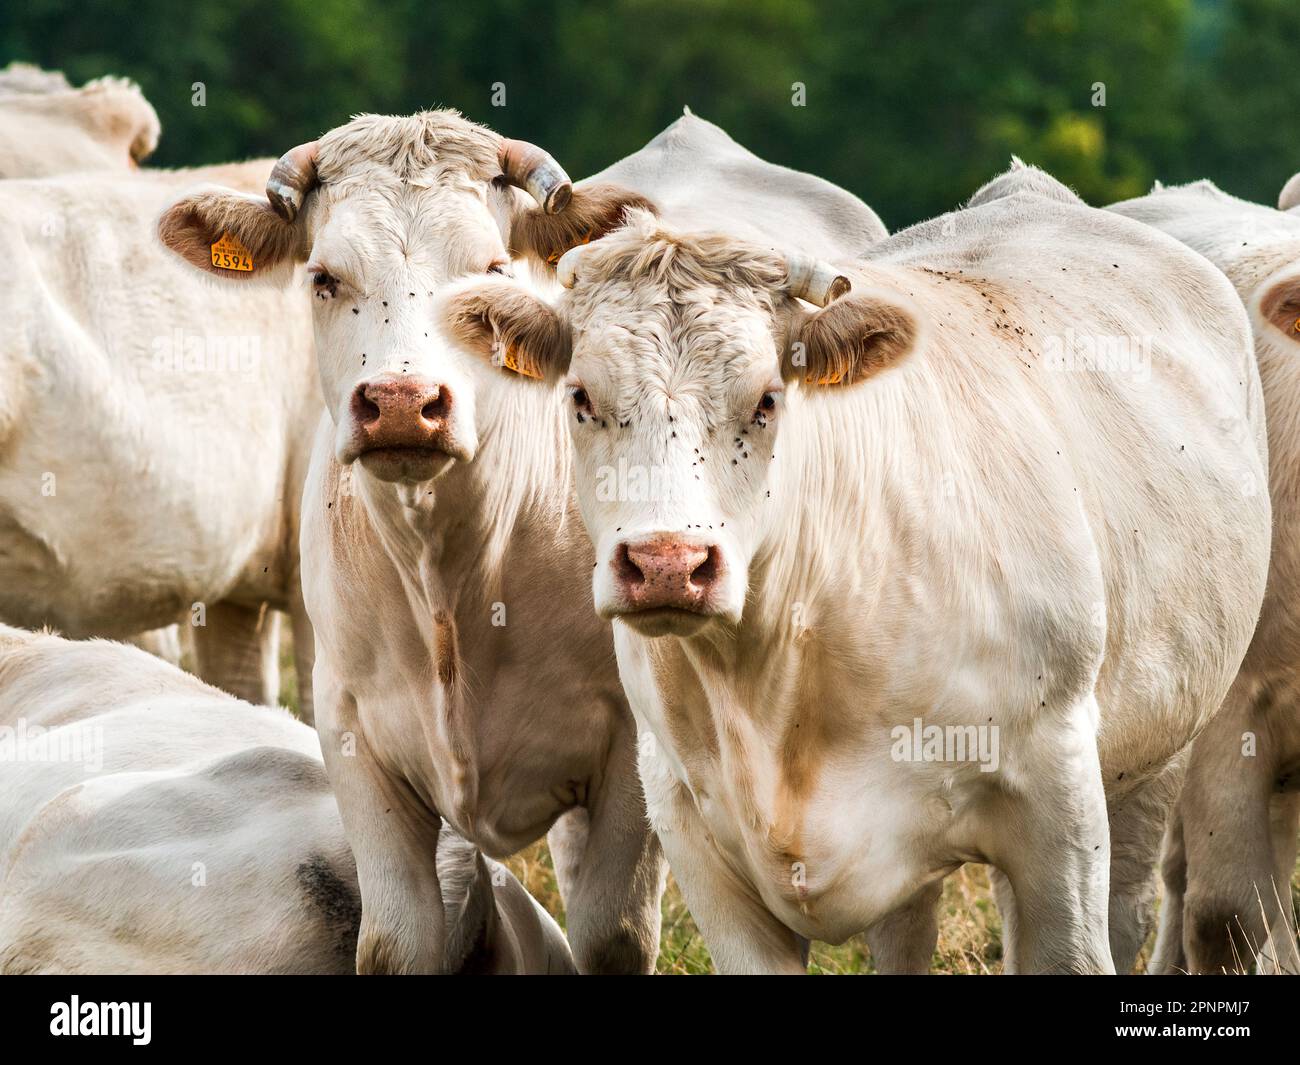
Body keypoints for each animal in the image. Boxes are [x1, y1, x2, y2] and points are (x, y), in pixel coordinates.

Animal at [432, 163, 1272, 973]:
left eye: (766, 401)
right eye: (581, 398)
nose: (669, 563)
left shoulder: (1057, 806)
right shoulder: (694, 832)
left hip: (1158, 748)